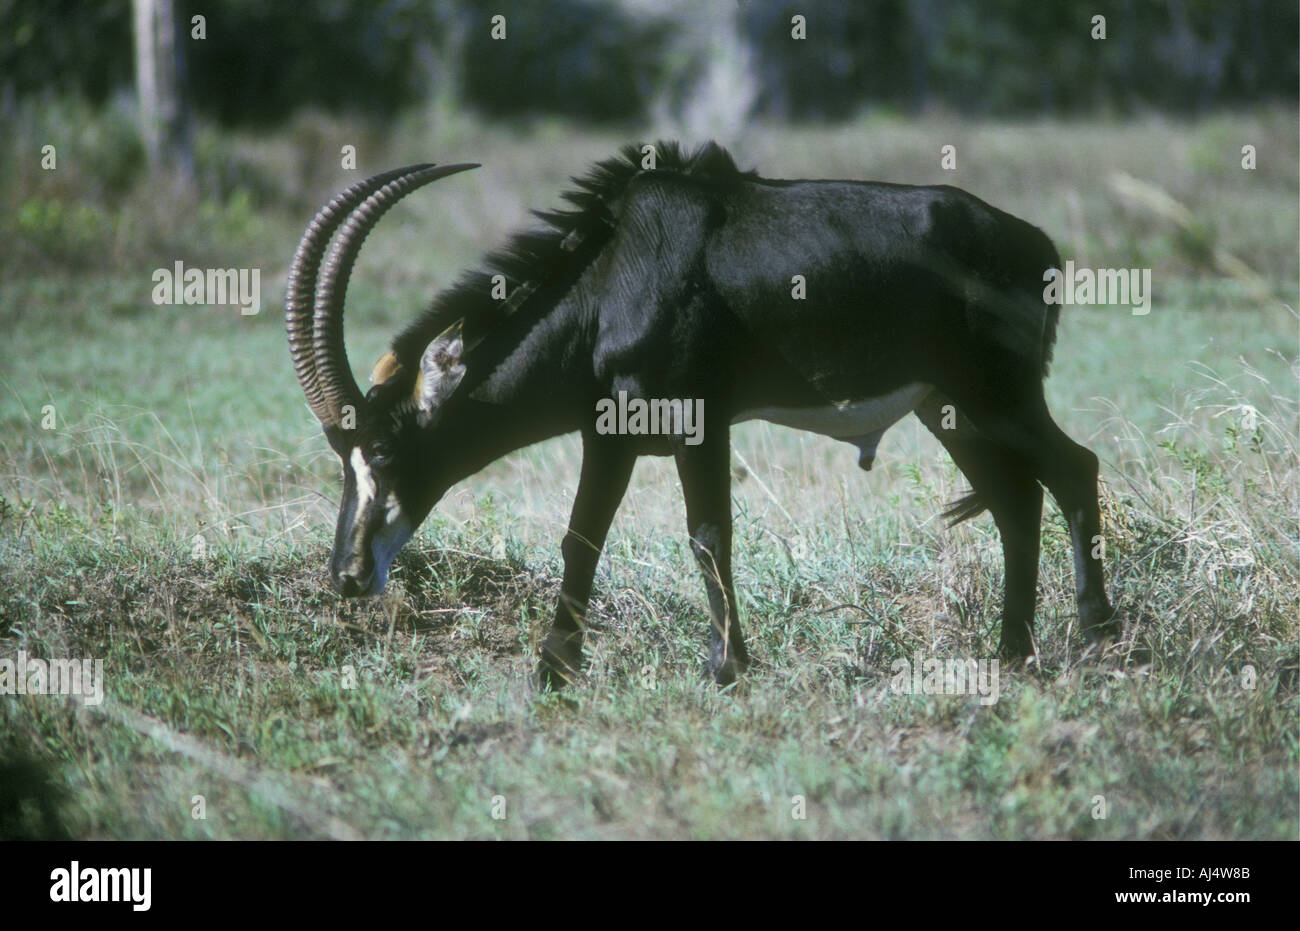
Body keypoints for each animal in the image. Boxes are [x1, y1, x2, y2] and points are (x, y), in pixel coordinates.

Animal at [285, 142, 1117, 690]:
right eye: (342, 458)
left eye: (384, 451)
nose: (347, 576)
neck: (608, 278)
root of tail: (1036, 244)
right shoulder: (610, 436)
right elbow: (582, 536)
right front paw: (555, 669)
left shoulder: (698, 423)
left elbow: (708, 534)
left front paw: (725, 666)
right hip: (950, 409)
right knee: (1017, 499)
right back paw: (1012, 654)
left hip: (997, 397)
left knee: (1074, 468)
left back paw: (1097, 634)